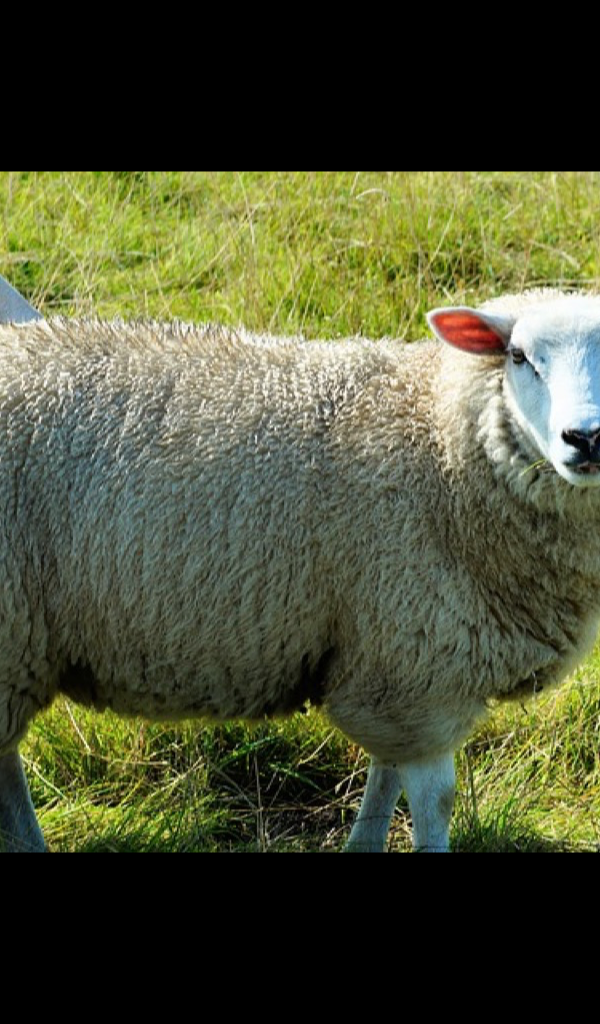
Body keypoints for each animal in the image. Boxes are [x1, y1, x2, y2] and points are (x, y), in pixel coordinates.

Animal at [2, 279, 600, 854]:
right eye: (519, 356)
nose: (586, 438)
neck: (434, 441)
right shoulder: (419, 669)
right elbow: (435, 802)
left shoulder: (388, 661)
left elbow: (386, 775)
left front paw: (361, 846)